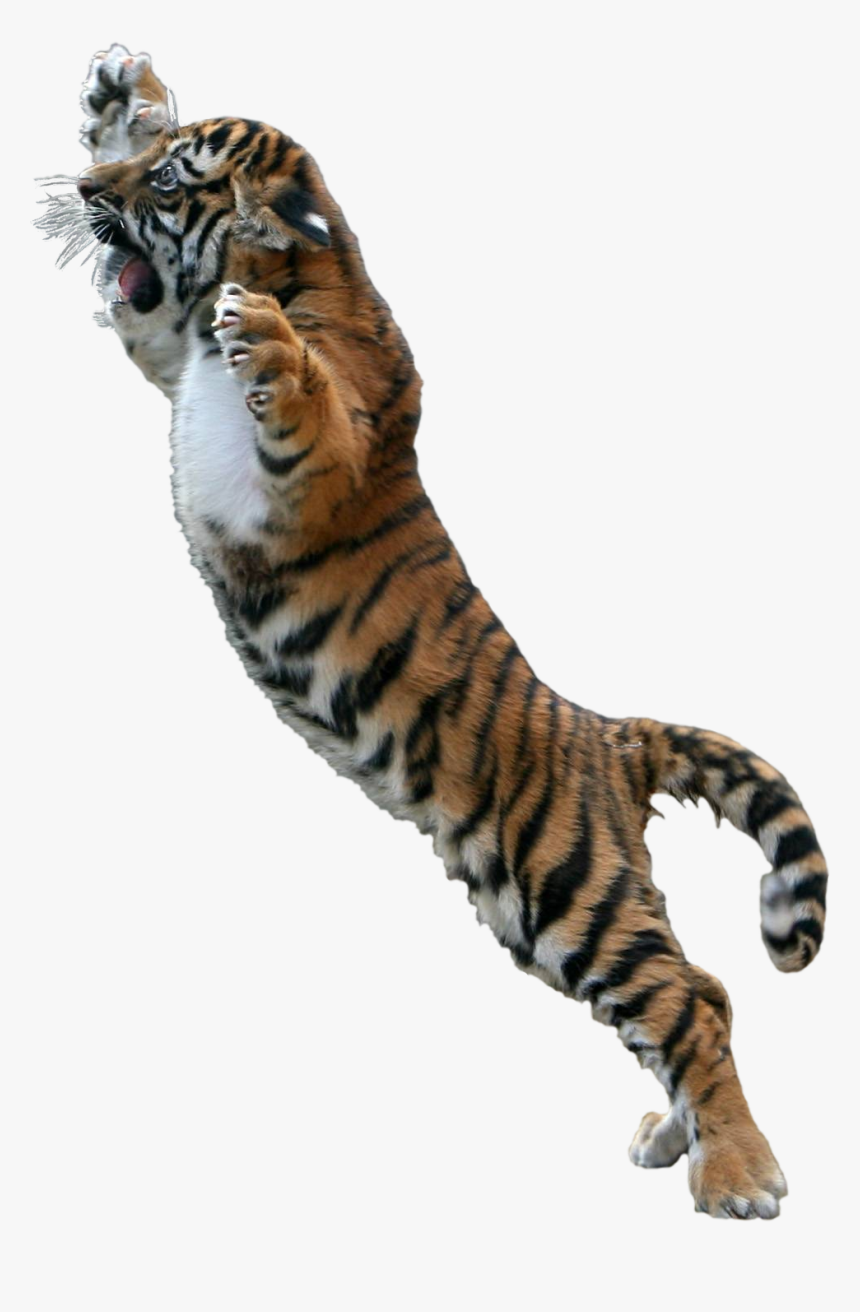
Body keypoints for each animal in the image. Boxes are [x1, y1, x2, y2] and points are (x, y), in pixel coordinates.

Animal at [39, 43, 828, 1220]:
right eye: (146, 159)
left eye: (170, 183)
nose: (91, 190)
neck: (288, 273)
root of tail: (608, 735)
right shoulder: (161, 345)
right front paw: (114, 87)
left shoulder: (316, 464)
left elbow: (305, 398)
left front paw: (266, 337)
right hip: (530, 912)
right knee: (704, 988)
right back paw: (673, 1140)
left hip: (568, 889)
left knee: (684, 999)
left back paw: (739, 1176)